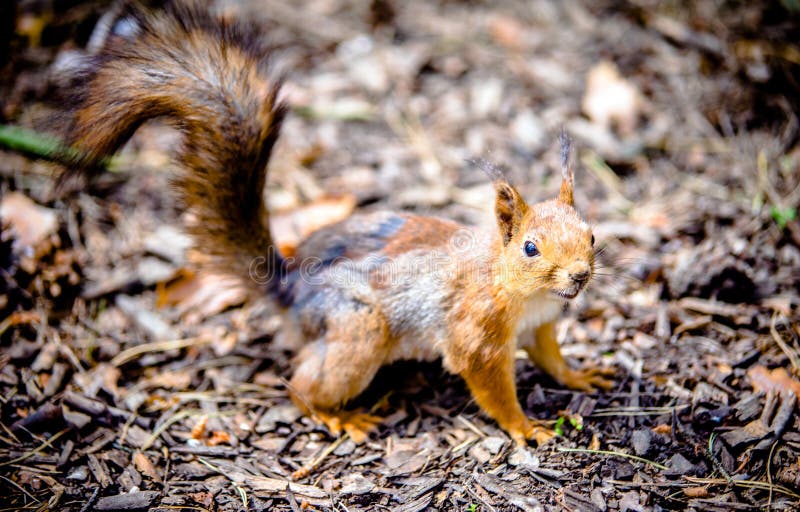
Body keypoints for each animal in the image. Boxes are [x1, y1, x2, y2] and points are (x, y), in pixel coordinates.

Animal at [64, 4, 613, 446]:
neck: (523, 293)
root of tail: (290, 292)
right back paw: (337, 416)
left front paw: (580, 377)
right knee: (300, 385)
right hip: (357, 330)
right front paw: (525, 427)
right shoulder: (475, 333)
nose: (580, 275)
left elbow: (551, 356)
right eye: (529, 248)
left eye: (591, 235)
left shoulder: (542, 324)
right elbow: (491, 387)